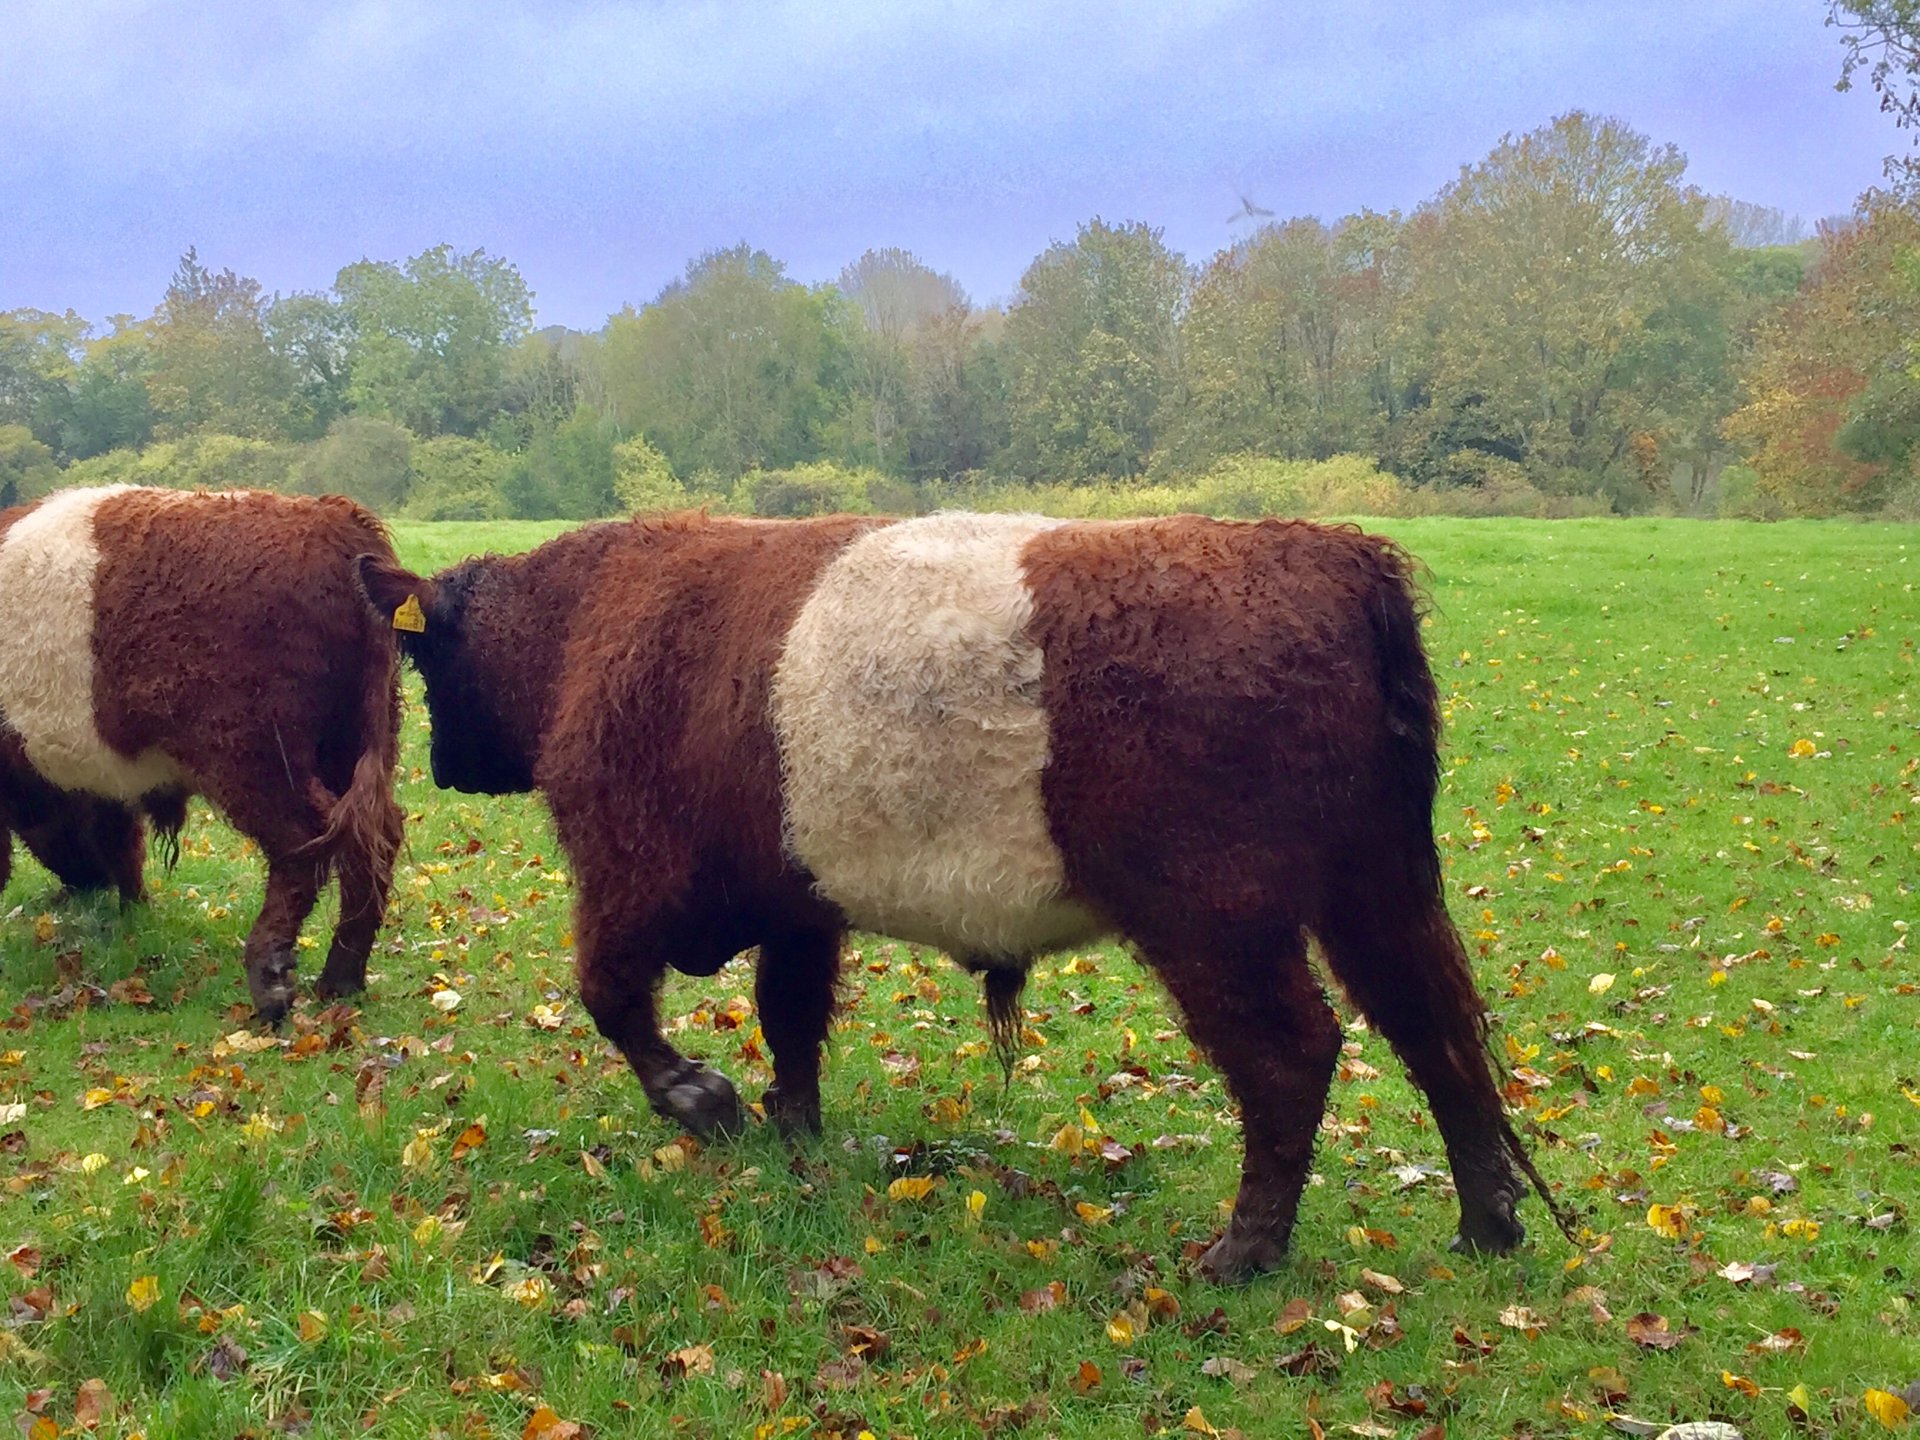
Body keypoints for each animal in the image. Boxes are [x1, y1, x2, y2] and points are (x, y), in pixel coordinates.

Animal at [0, 485, 406, 1022]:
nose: (82, 888)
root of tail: (335, 518)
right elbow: (122, 843)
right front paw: (133, 912)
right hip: (353, 746)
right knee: (373, 839)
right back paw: (340, 980)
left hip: (255, 757)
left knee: (305, 842)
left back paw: (270, 980)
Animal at [357, 510, 1562, 1280]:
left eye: (421, 665)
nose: (446, 767)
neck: (589, 625)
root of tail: (1327, 553)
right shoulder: (798, 903)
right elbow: (790, 1018)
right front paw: (796, 1135)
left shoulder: (624, 871)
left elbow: (611, 996)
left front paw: (706, 1102)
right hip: (1373, 886)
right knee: (1436, 1029)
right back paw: (1488, 1226)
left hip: (1220, 915)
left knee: (1293, 1054)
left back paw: (1244, 1252)